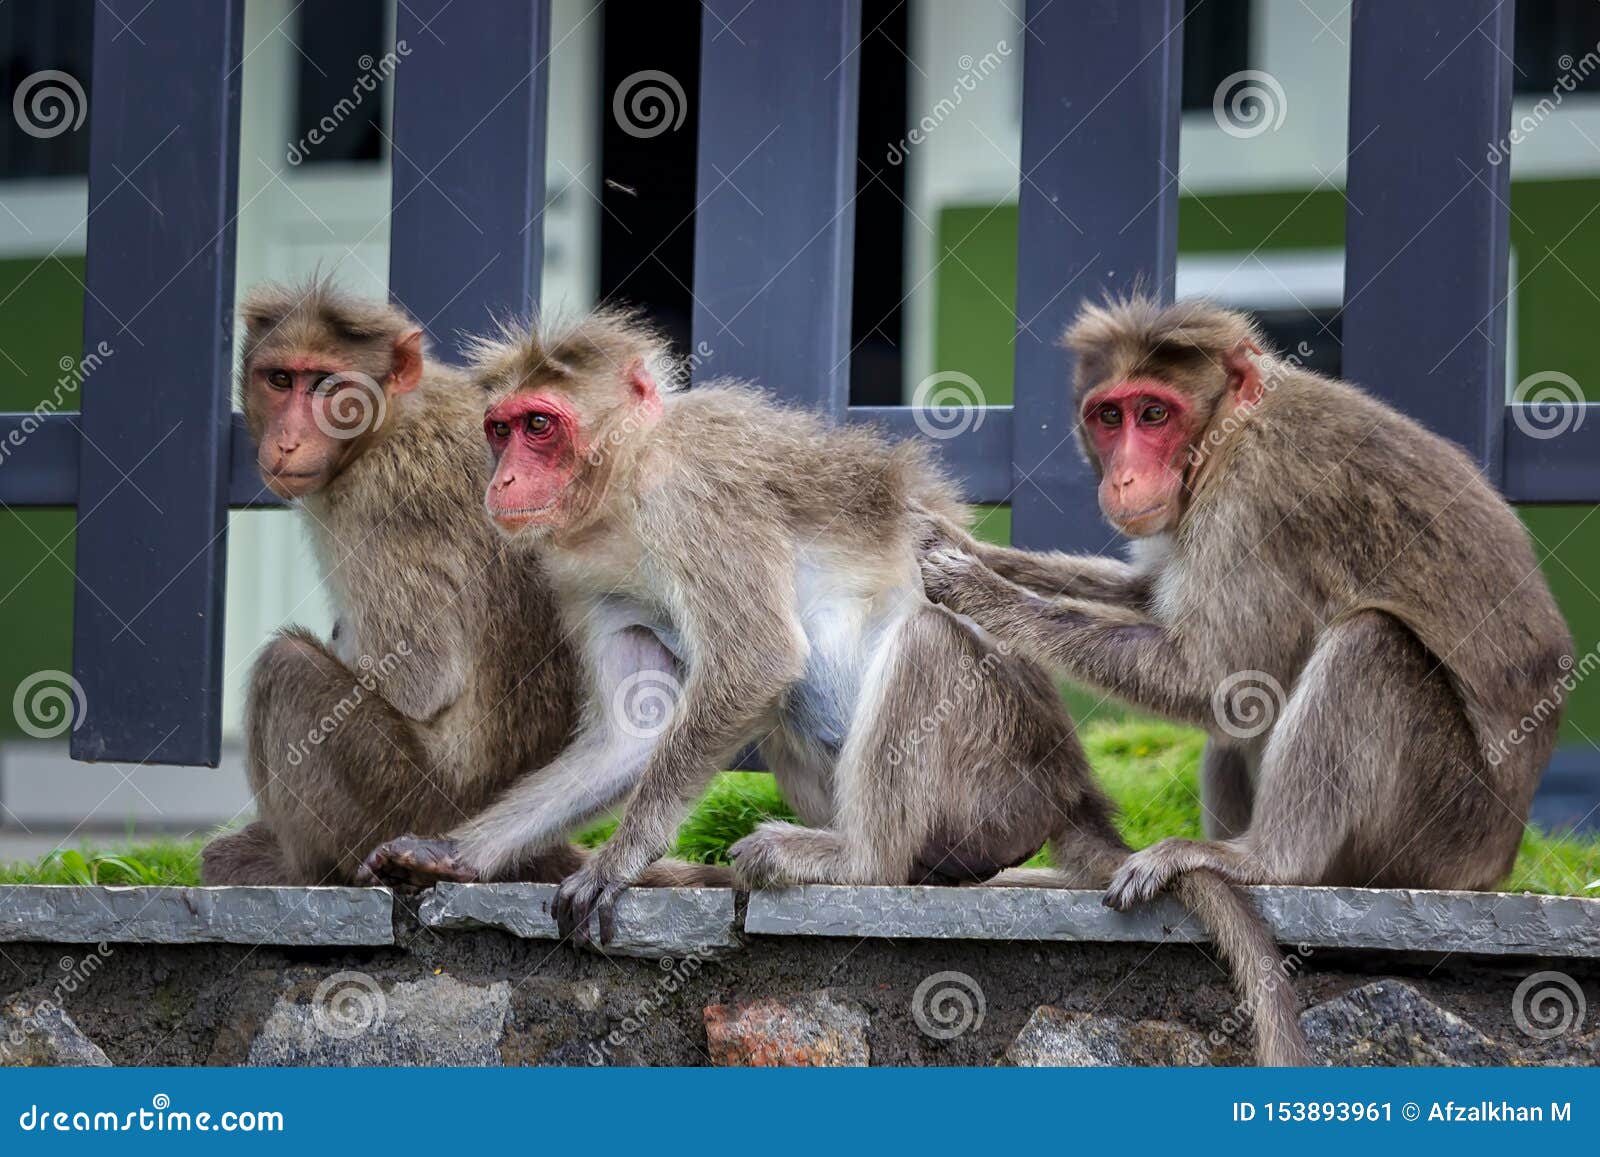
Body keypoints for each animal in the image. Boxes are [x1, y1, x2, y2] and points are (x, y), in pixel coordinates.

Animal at [201, 280, 726, 891]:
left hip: (401, 805)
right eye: (281, 379)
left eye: (329, 387)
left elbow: (421, 680)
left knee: (285, 667)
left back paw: (300, 871)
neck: (388, 420)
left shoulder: (378, 499)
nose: (287, 441)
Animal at [360, 308, 1314, 1065]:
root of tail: (1068, 789)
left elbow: (752, 660)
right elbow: (638, 727)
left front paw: (617, 862)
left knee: (922, 643)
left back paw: (861, 860)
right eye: (501, 429)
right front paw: (452, 852)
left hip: (998, 780)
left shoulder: (697, 500)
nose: (505, 478)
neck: (624, 485)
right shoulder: (578, 571)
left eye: (542, 426)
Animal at [917, 295, 1575, 912]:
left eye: (1154, 414)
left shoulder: (1256, 499)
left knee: (1369, 642)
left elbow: (1219, 678)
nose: (1124, 477)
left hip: (1439, 832)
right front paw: (955, 543)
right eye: (1109, 417)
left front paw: (982, 591)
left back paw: (1264, 861)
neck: (1228, 430)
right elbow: (1152, 599)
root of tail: (1495, 864)